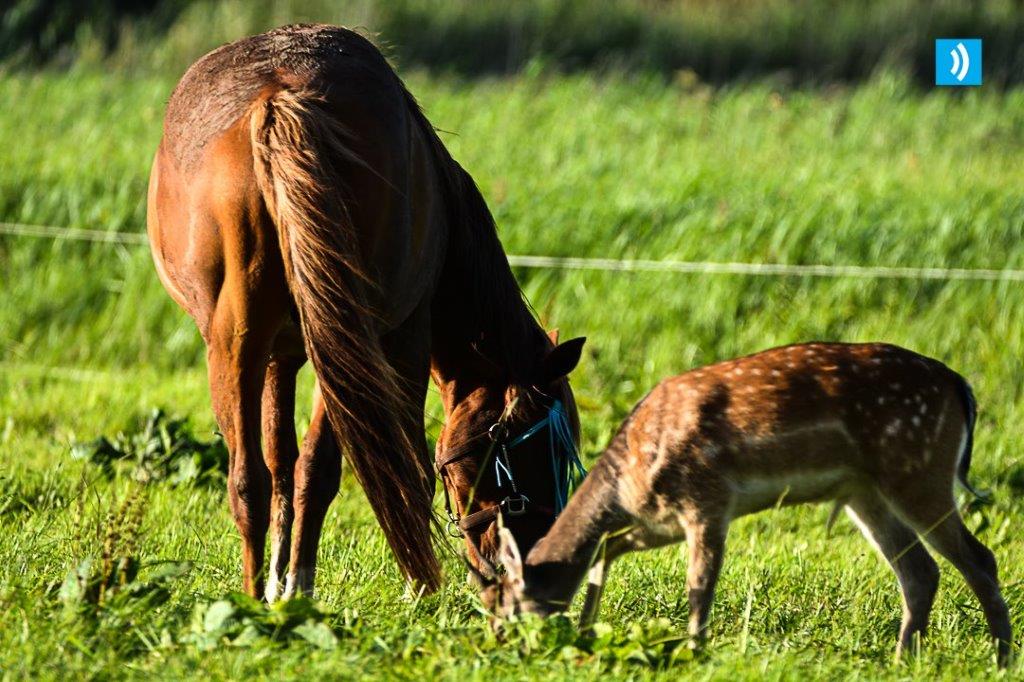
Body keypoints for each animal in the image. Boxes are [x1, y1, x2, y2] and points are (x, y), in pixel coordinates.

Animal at [147, 23, 585, 601]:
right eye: (540, 453)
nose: (541, 578)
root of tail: (276, 99)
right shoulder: (404, 340)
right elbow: (410, 467)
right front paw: (419, 587)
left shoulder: (283, 354)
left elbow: (282, 464)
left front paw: (278, 581)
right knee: (320, 470)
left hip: (242, 344)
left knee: (252, 479)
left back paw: (261, 596)